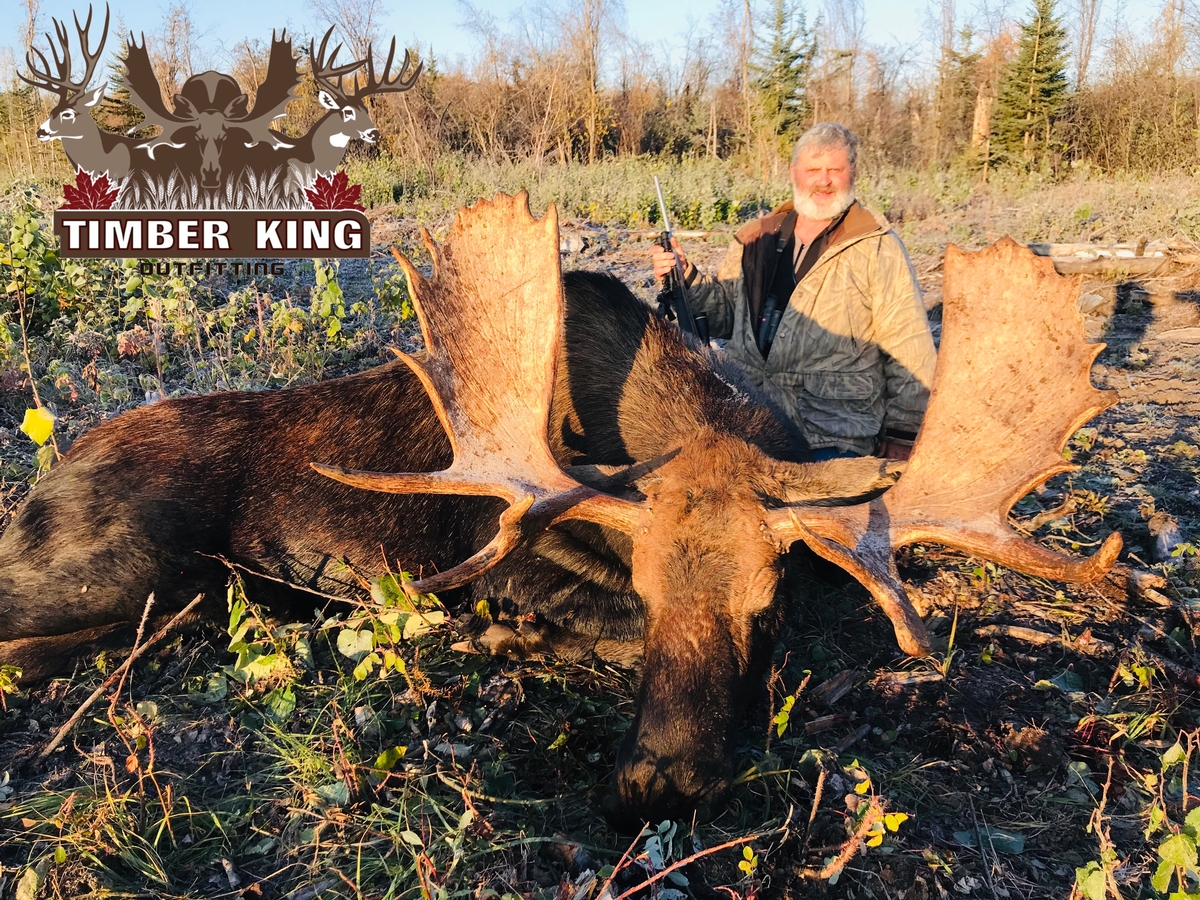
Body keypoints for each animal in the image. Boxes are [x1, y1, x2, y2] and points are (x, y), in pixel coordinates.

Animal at [0, 193, 1120, 828]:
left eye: (766, 605)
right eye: (650, 588)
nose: (661, 786)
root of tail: (46, 483)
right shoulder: (500, 553)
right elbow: (582, 619)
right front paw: (516, 642)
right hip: (120, 565)